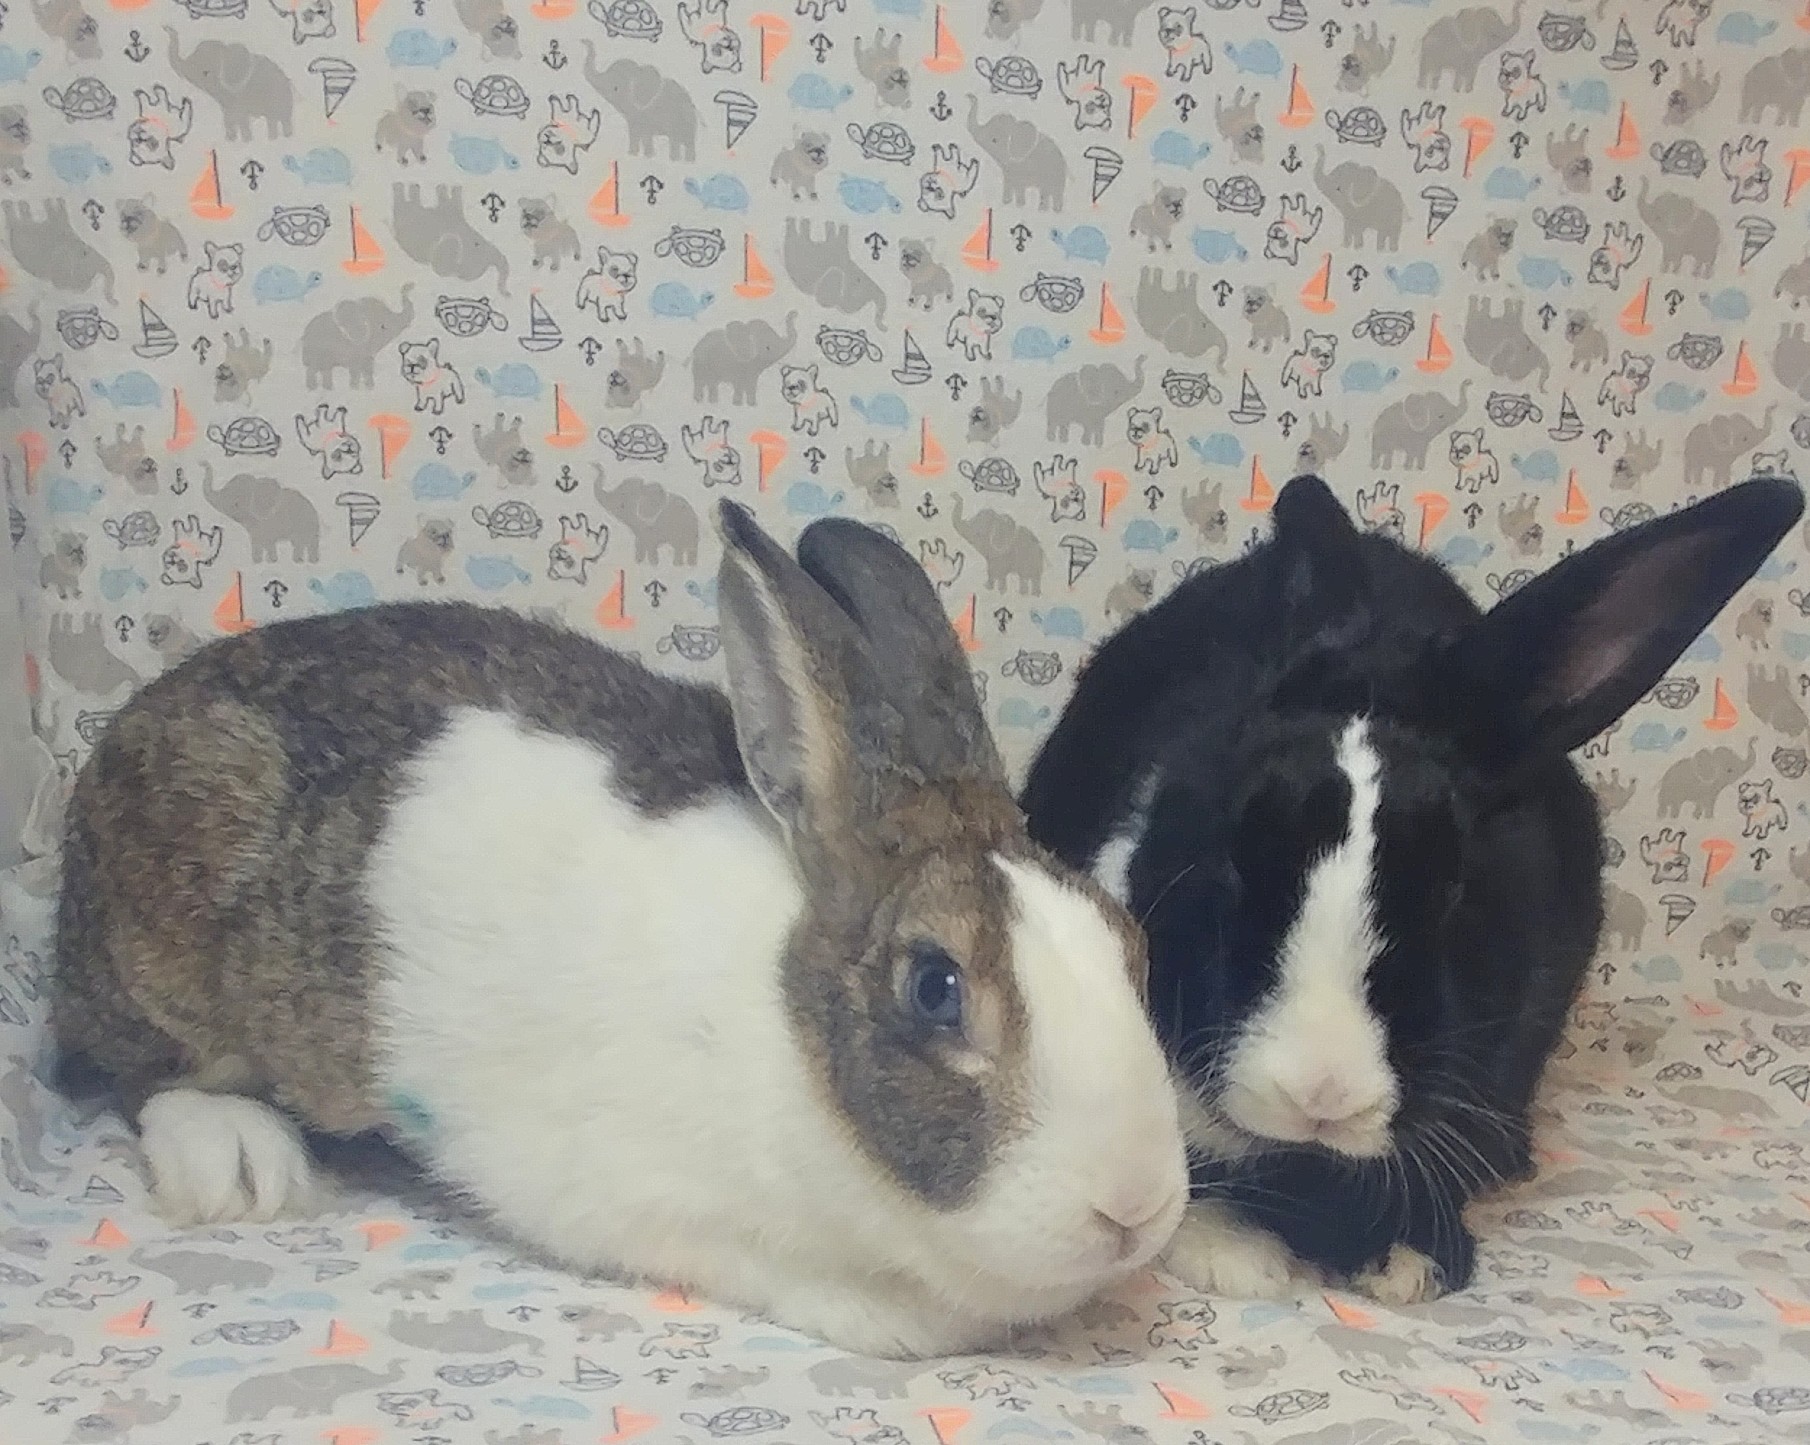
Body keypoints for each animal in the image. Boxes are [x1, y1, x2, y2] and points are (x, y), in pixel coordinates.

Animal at [52, 503, 1188, 1359]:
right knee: (139, 1066)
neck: (787, 1034)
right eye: (936, 989)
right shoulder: (639, 1195)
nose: (1134, 1208)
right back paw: (240, 1162)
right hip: (171, 935)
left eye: (1133, 951)